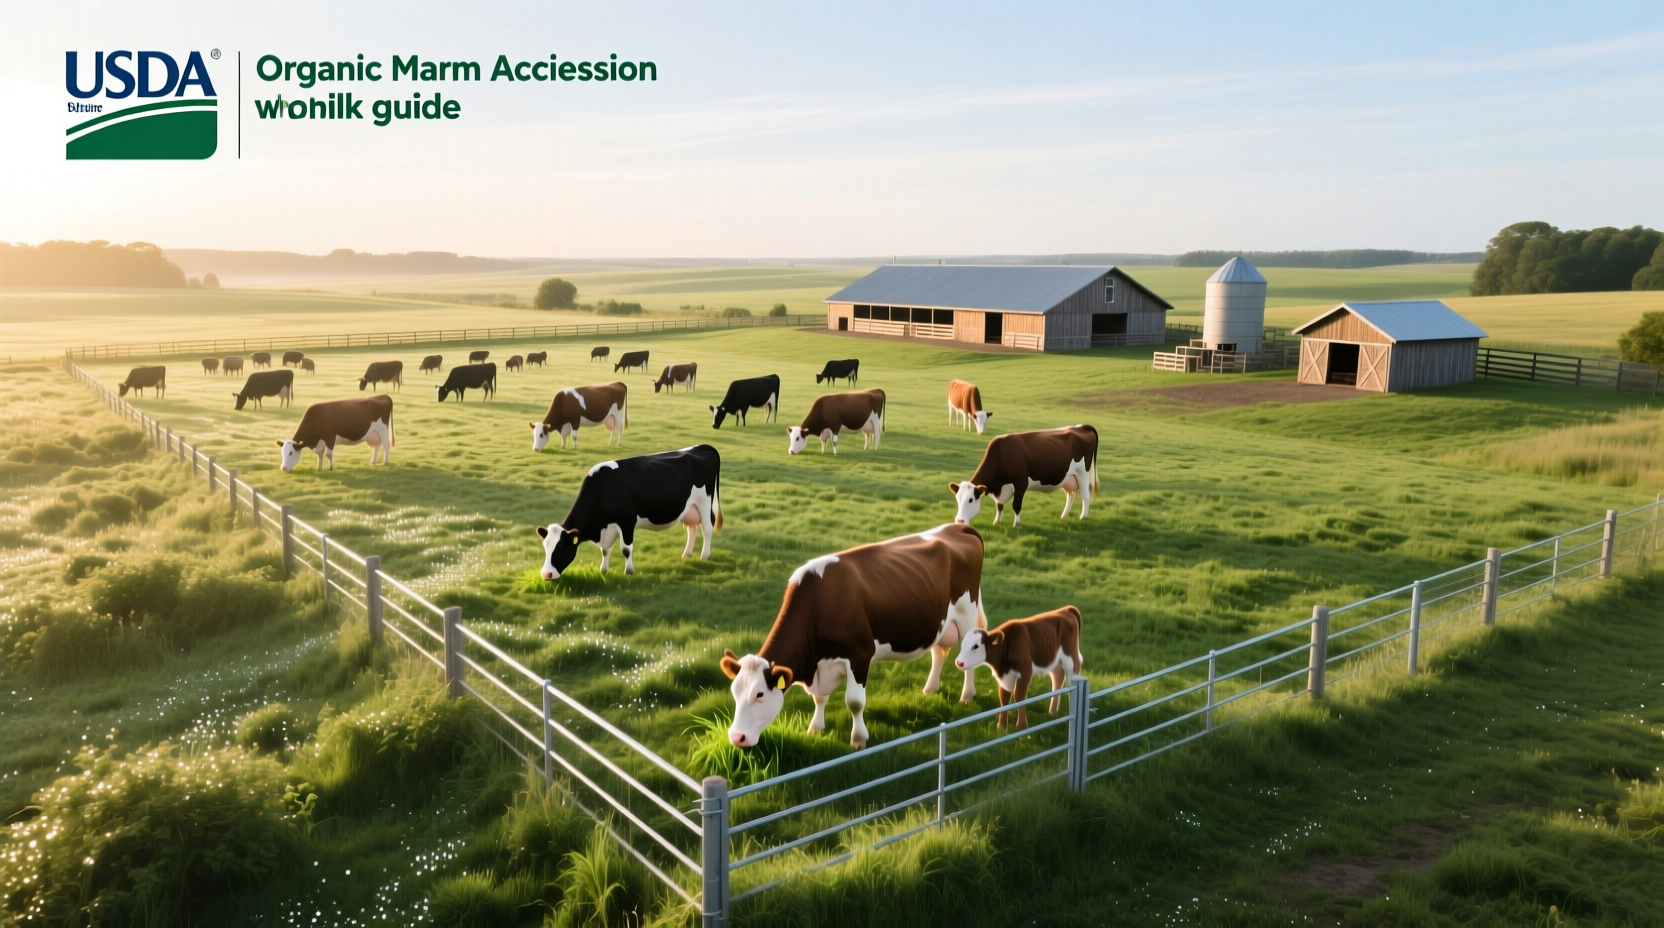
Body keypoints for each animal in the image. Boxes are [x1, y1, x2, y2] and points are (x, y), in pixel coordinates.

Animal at [534, 444, 722, 579]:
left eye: (560, 548)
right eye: (545, 547)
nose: (546, 574)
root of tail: (701, 447)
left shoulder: (627, 521)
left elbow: (626, 549)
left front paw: (629, 571)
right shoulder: (607, 528)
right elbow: (605, 550)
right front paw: (603, 570)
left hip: (704, 502)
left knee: (707, 529)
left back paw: (704, 556)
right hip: (689, 508)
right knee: (692, 528)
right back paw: (686, 554)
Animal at [721, 523, 987, 750]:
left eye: (759, 694)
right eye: (734, 691)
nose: (736, 737)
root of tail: (958, 527)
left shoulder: (860, 655)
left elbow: (854, 701)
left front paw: (859, 739)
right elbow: (819, 698)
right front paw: (815, 729)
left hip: (967, 614)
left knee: (968, 657)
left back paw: (967, 696)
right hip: (940, 622)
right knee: (938, 653)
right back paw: (930, 689)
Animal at [950, 425, 1099, 527]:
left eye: (970, 500)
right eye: (957, 499)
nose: (959, 521)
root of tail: (1080, 427)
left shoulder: (1021, 483)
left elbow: (1016, 505)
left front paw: (1017, 524)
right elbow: (999, 505)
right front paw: (997, 521)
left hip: (1083, 472)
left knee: (1085, 495)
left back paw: (1083, 516)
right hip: (1069, 477)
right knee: (1071, 494)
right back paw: (1064, 515)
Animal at [955, 606, 1083, 729]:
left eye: (975, 646)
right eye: (962, 644)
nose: (959, 662)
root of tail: (1065, 609)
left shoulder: (1025, 671)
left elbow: (1020, 696)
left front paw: (1021, 725)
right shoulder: (1004, 675)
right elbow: (1004, 697)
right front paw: (1001, 726)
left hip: (1070, 657)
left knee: (1072, 679)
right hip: (1054, 660)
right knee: (1058, 678)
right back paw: (1052, 713)